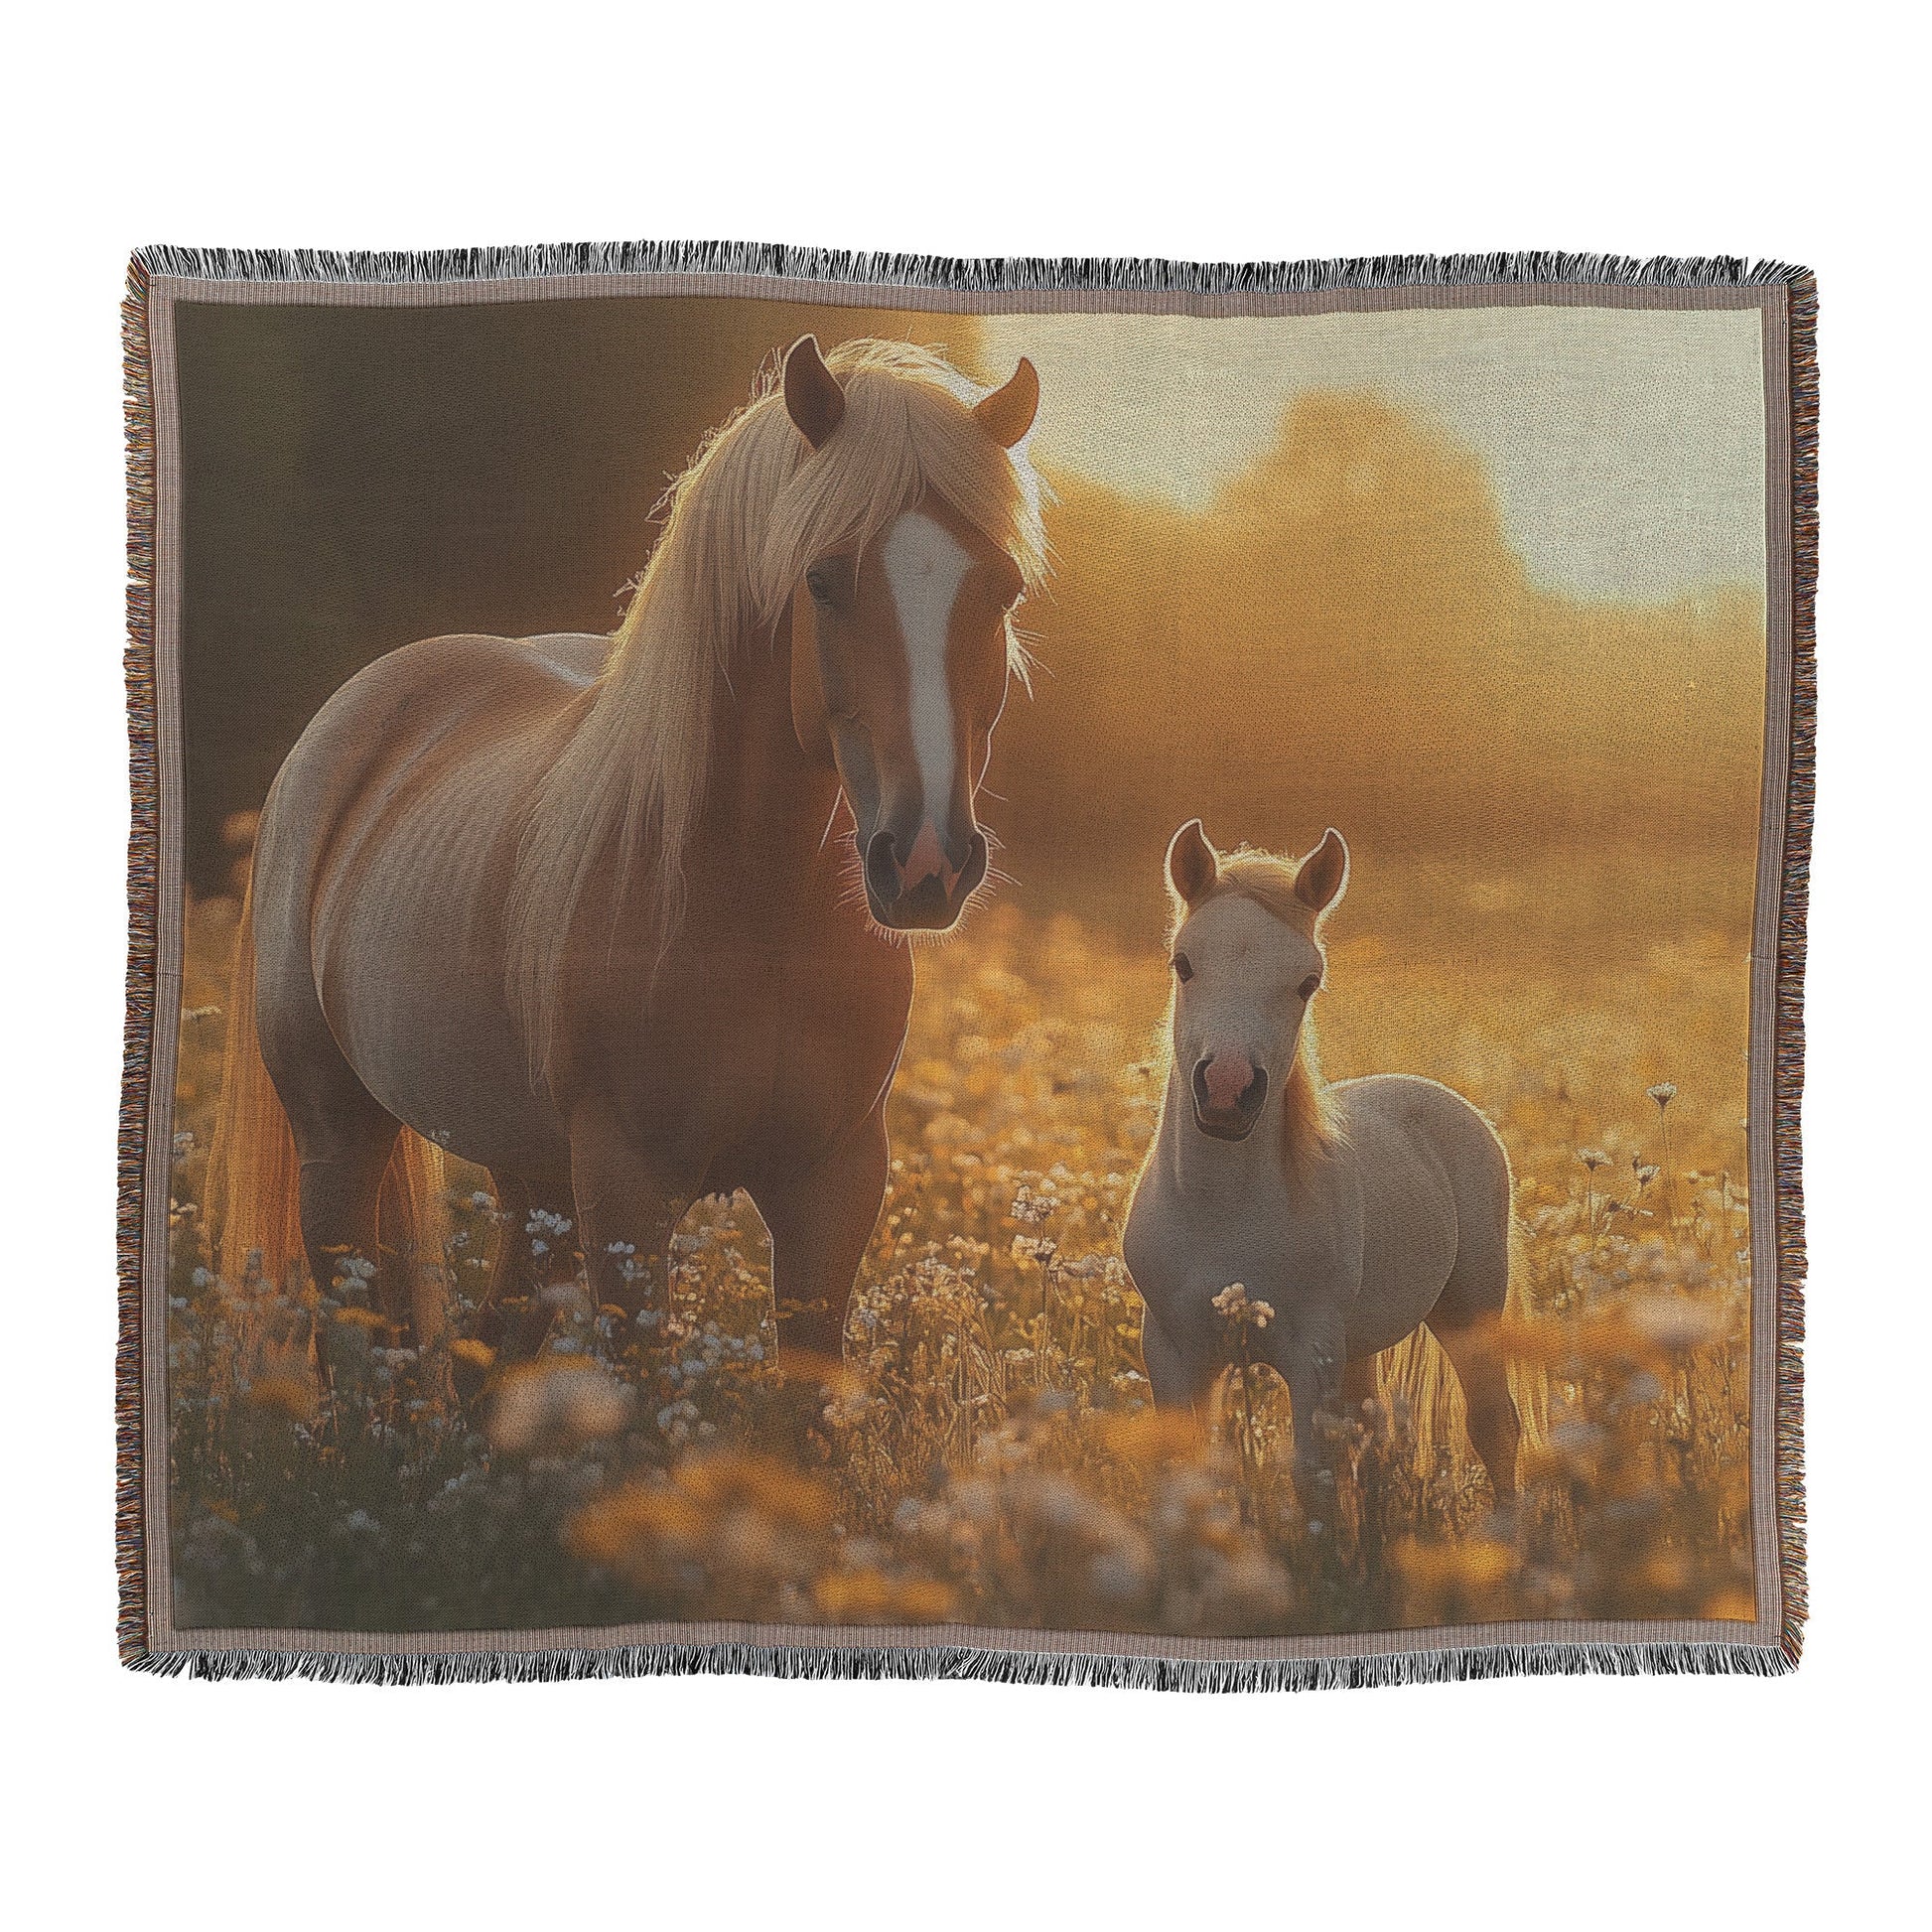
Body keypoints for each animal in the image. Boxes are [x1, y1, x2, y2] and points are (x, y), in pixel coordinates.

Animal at [206, 334, 1047, 1364]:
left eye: (1002, 588)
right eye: (822, 579)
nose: (926, 863)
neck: (757, 909)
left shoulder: (833, 1187)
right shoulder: (626, 1193)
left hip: (533, 1183)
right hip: (339, 1138)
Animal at [1120, 819, 1538, 1500]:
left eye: (1306, 982)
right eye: (1183, 963)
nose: (1228, 1090)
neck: (1222, 1212)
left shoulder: (1311, 1357)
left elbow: (1314, 1481)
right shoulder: (1173, 1354)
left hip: (1469, 1312)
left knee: (1494, 1429)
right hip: (1362, 1348)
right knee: (1371, 1436)